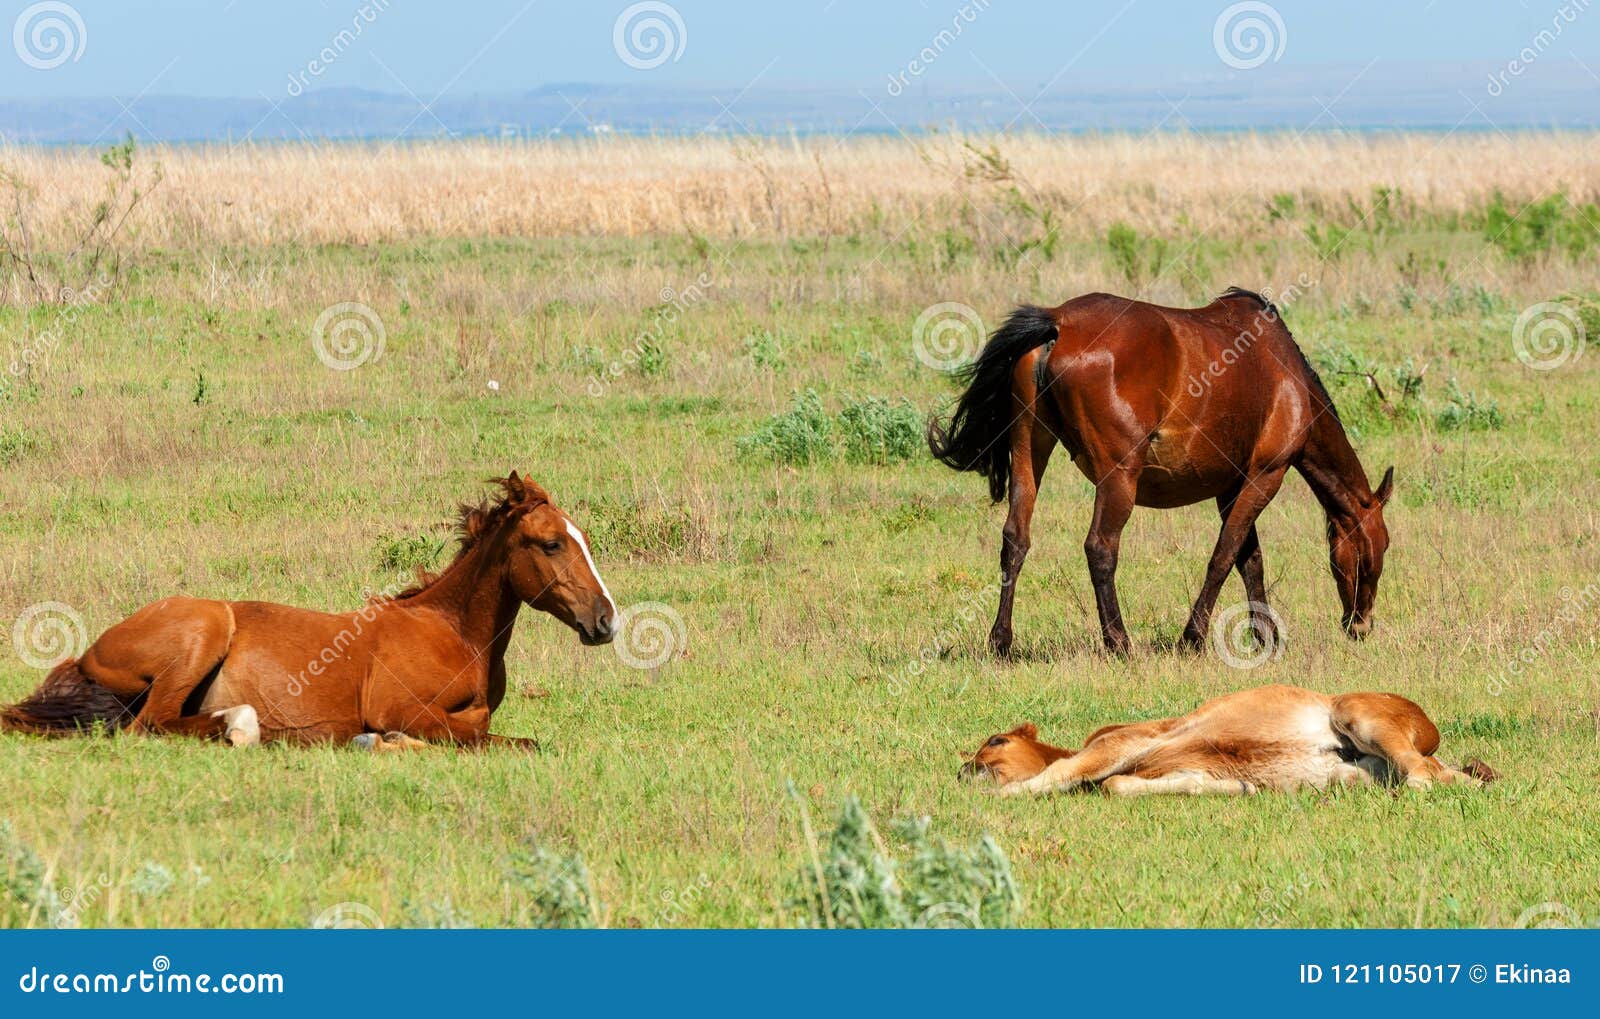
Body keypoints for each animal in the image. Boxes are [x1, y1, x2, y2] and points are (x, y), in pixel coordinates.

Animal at [1, 472, 617, 751]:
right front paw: (378, 742)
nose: (606, 620)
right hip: (206, 631)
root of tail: (87, 653)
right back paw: (243, 726)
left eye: (581, 539)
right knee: (150, 724)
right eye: (551, 544)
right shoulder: (396, 707)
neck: (453, 633)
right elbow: (500, 740)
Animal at [928, 288, 1394, 657]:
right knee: (1100, 548)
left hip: (1029, 452)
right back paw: (1119, 642)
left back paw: (1001, 642)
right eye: (1379, 548)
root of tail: (1058, 322)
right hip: (1119, 478)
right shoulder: (1266, 476)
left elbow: (1250, 560)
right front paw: (1194, 637)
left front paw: (1266, 635)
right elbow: (1224, 556)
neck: (1285, 376)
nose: (1361, 625)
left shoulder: (1231, 487)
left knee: (1015, 540)